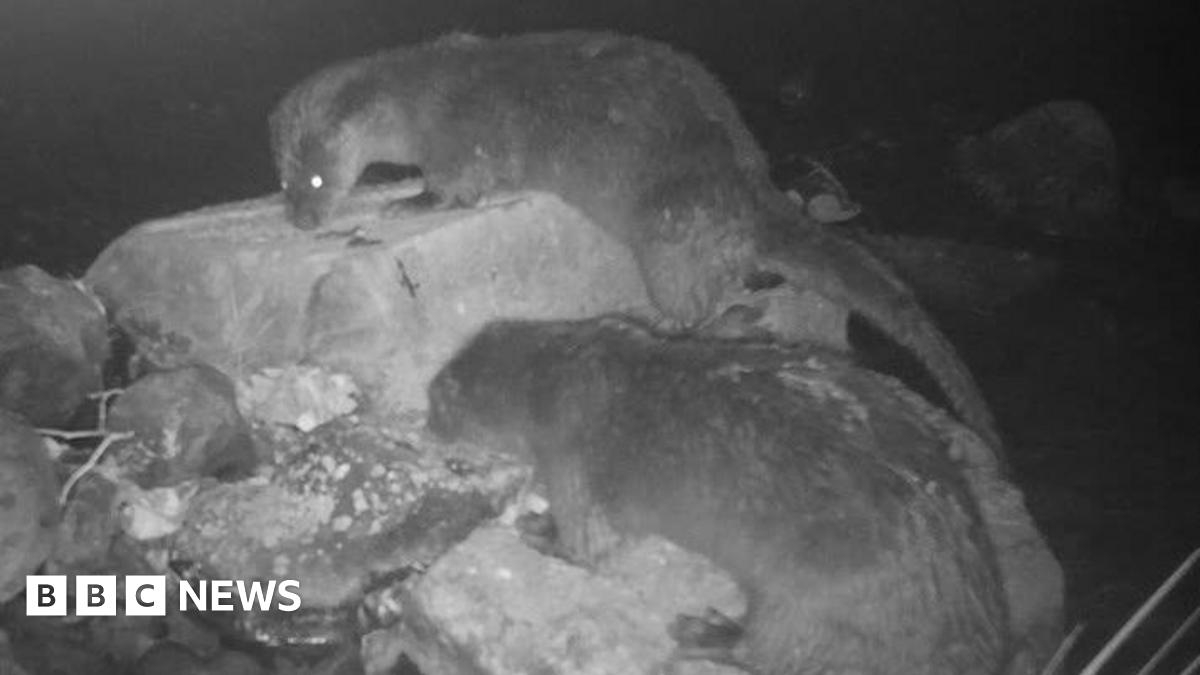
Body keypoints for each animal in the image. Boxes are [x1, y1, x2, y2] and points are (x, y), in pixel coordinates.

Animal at [270, 31, 1004, 463]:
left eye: (316, 180)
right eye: (283, 180)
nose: (300, 219)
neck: (417, 95)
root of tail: (752, 193)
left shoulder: (461, 136)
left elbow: (459, 186)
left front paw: (409, 198)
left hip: (666, 232)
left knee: (703, 299)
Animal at [426, 316, 1011, 675]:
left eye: (438, 403)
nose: (426, 420)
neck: (563, 382)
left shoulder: (576, 464)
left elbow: (588, 544)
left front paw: (539, 529)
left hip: (819, 591)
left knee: (774, 650)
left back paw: (707, 632)